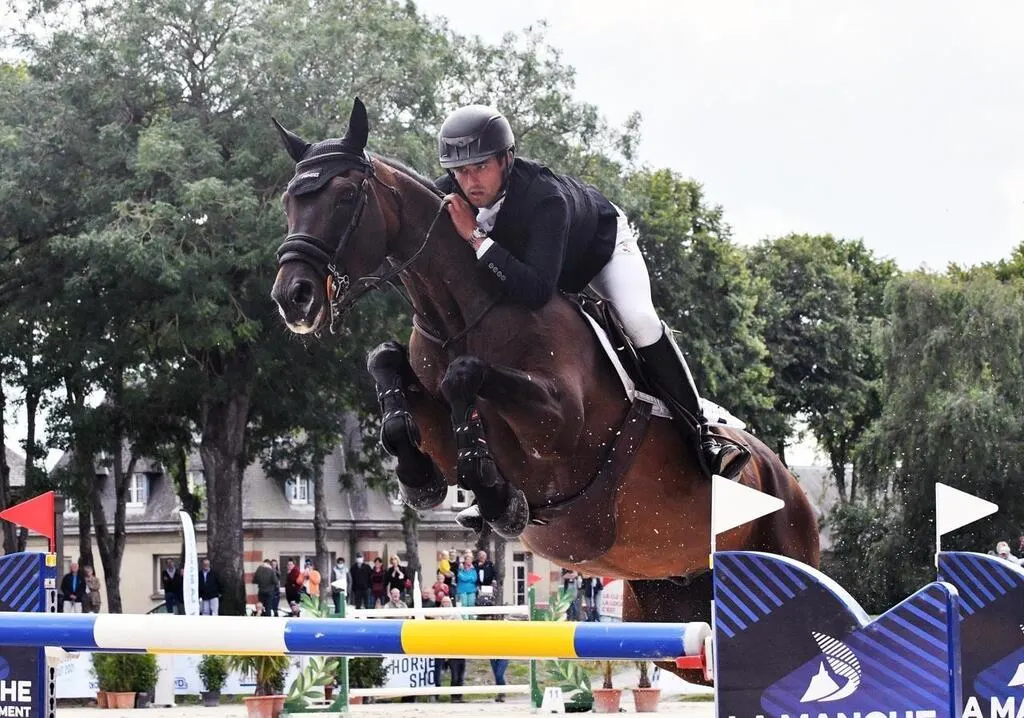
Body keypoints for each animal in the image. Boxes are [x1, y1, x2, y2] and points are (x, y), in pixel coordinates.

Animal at [270, 99, 819, 684]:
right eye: (289, 200)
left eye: (346, 196)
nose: (293, 297)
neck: (467, 313)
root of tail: (787, 480)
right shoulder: (436, 411)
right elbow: (388, 365)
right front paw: (423, 478)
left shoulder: (560, 429)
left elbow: (465, 375)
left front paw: (493, 493)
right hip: (672, 606)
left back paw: (718, 451)